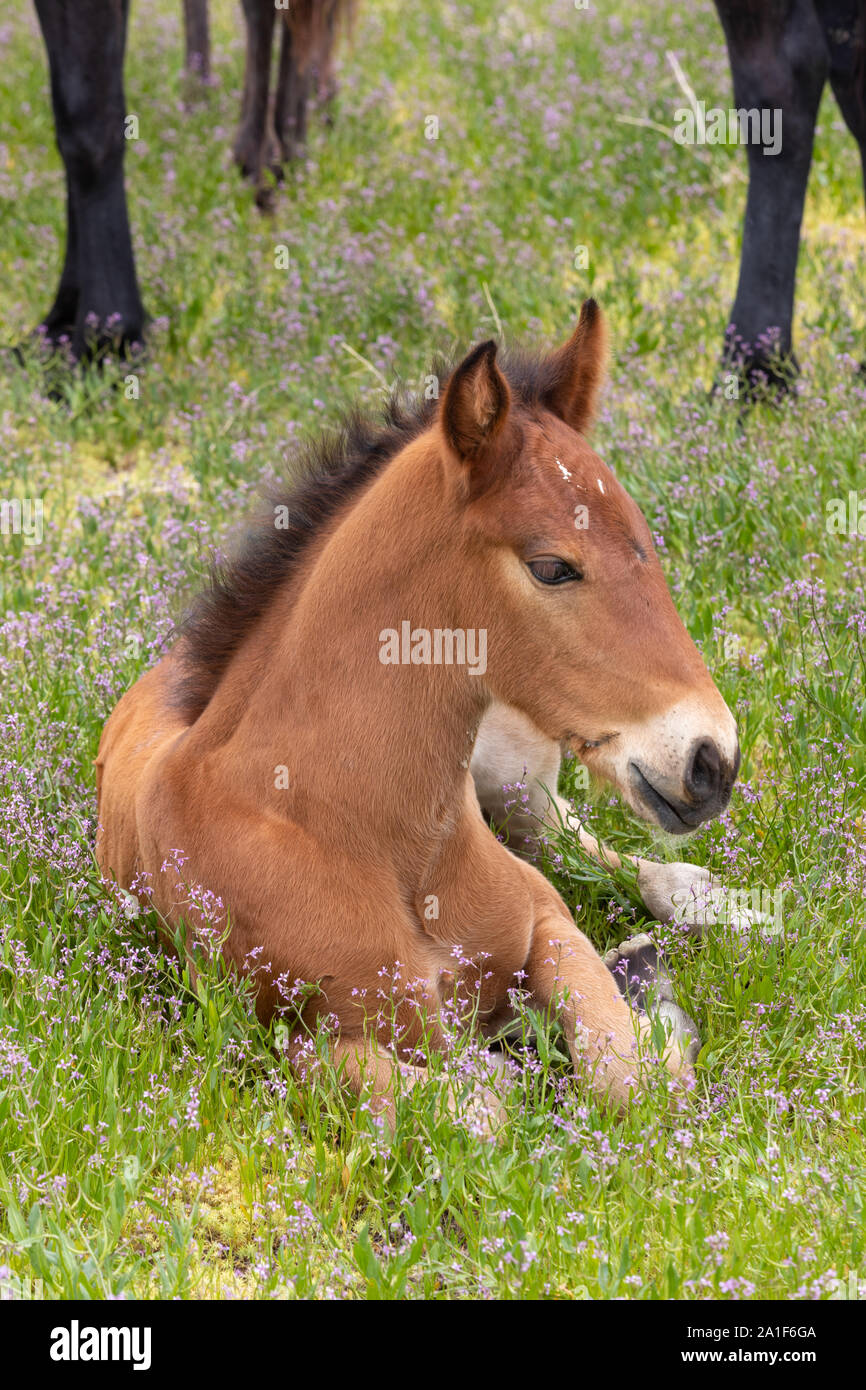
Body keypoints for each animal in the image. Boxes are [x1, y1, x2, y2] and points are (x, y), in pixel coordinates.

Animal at [95, 301, 741, 1126]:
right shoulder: (289, 1038)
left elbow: (621, 1072)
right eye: (552, 567)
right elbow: (488, 1109)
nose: (711, 760)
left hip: (513, 773)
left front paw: (648, 1005)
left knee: (575, 838)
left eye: (644, 543)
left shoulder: (545, 918)